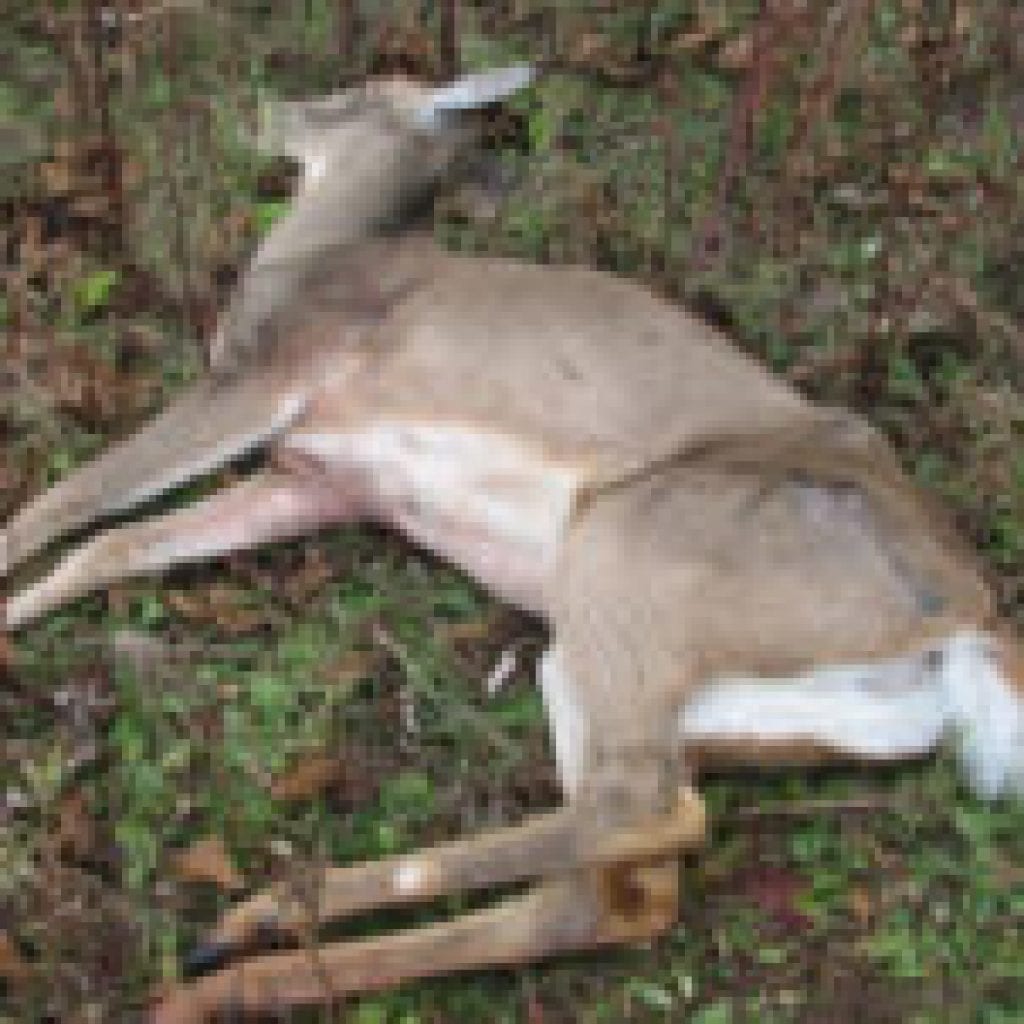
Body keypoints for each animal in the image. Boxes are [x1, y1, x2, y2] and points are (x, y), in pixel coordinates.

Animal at [2, 64, 1022, 1024]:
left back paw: (255, 918)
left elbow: (67, 500)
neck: (329, 247)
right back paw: (225, 979)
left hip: (629, 552)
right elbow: (117, 543)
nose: (267, 108)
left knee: (648, 810)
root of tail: (974, 615)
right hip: (712, 688)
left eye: (360, 90)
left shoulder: (264, 373)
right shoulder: (321, 481)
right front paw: (21, 611)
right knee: (618, 885)